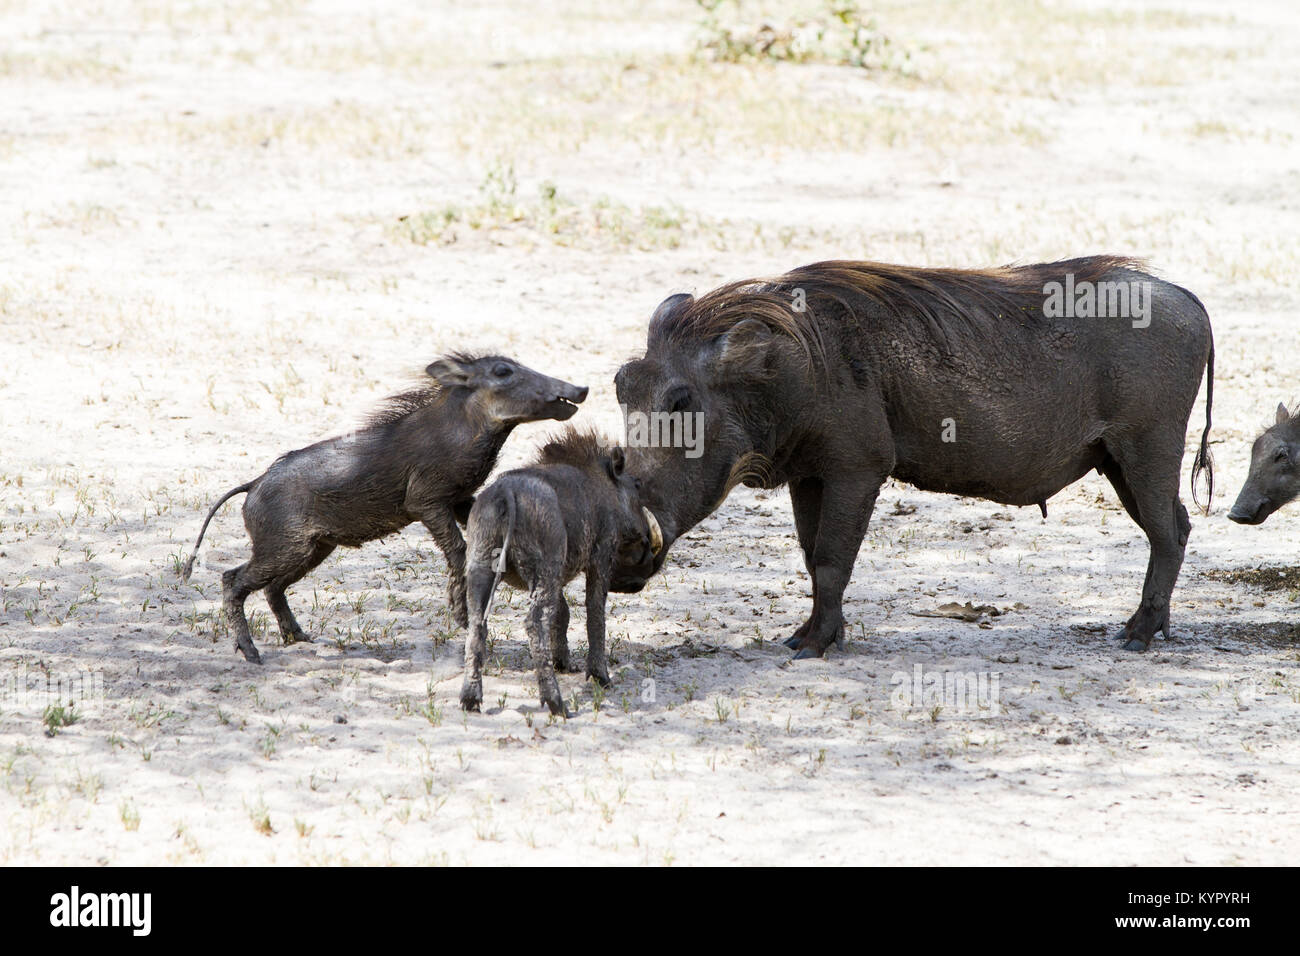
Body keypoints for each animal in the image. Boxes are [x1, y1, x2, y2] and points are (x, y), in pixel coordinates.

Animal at [180, 353, 588, 664]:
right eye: (503, 371)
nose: (580, 389)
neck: (468, 426)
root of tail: (253, 484)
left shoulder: (457, 498)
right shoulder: (426, 500)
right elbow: (458, 549)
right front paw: (460, 615)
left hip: (312, 548)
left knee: (273, 588)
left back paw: (300, 639)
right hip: (284, 547)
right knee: (233, 580)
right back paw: (251, 653)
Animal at [459, 428, 662, 716]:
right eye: (636, 485)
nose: (640, 577)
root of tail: (506, 493)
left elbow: (562, 612)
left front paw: (564, 663)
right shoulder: (602, 553)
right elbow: (594, 612)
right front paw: (600, 677)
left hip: (480, 565)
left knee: (477, 623)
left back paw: (470, 700)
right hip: (546, 567)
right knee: (534, 622)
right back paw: (557, 704)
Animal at [613, 256, 1214, 656]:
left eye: (680, 401)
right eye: (621, 385)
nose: (621, 556)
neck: (786, 368)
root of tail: (1189, 297)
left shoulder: (857, 466)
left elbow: (832, 559)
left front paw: (815, 647)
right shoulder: (810, 475)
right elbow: (812, 558)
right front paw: (806, 636)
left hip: (1148, 446)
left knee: (1166, 533)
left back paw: (1137, 635)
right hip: (1116, 461)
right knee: (1178, 526)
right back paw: (1150, 627)